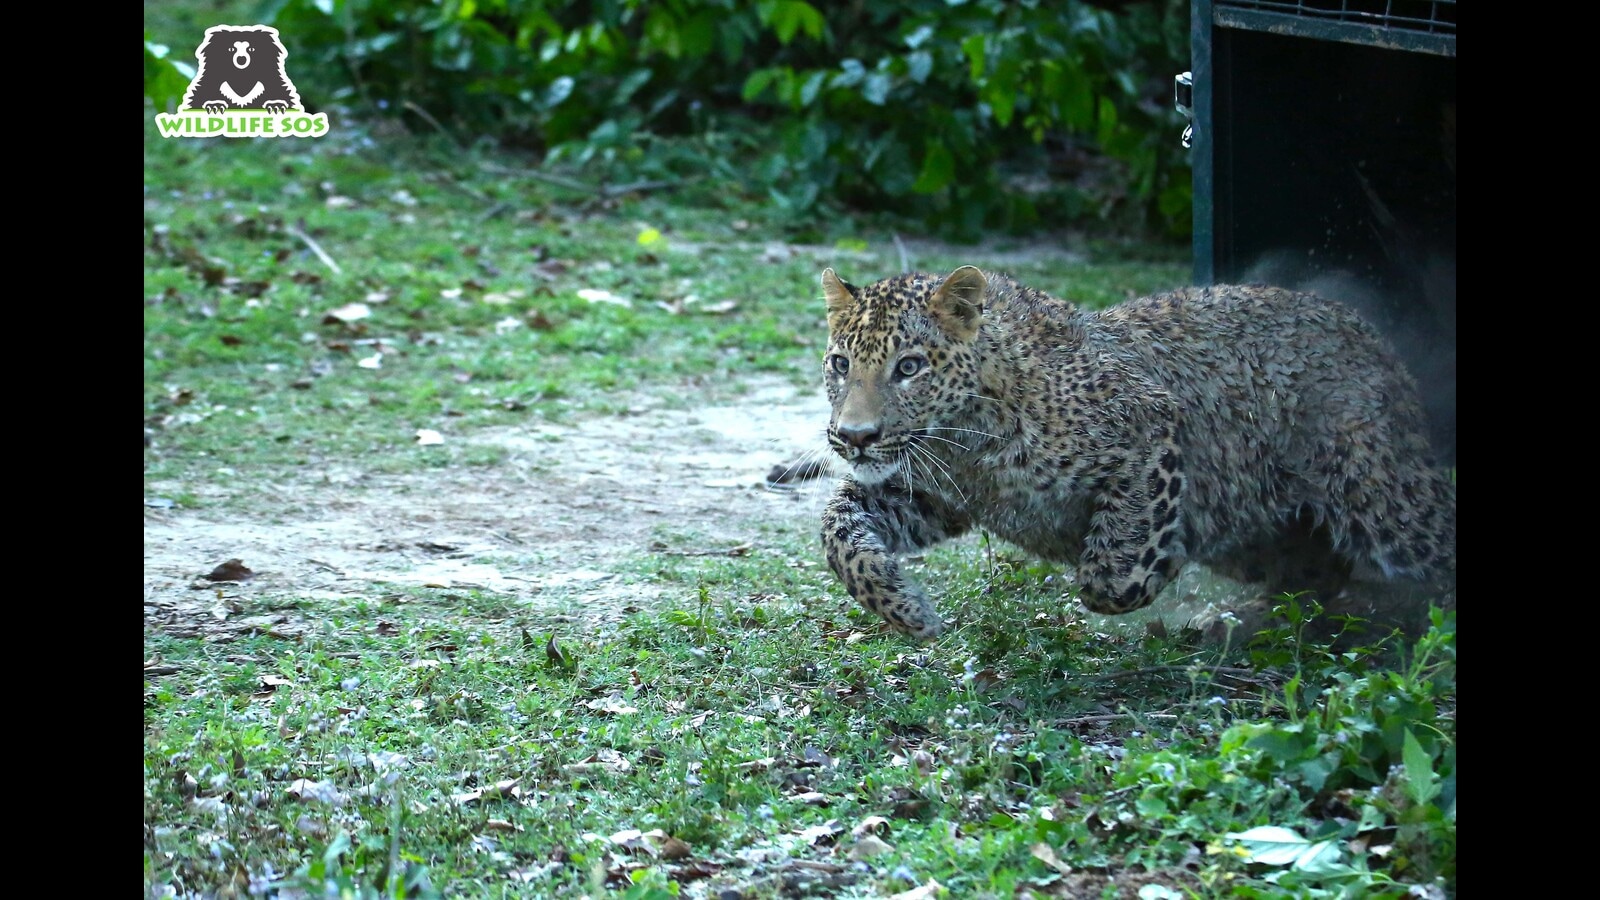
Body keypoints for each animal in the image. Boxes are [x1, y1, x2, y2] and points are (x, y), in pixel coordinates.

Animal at [817, 265, 1455, 640]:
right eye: (841, 364)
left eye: (909, 368)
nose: (854, 436)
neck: (965, 442)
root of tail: (1370, 335)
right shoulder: (931, 493)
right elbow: (837, 533)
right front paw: (908, 609)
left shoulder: (1150, 424)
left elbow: (1111, 573)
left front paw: (1154, 562)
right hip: (1255, 531)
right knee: (1312, 572)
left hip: (1382, 495)